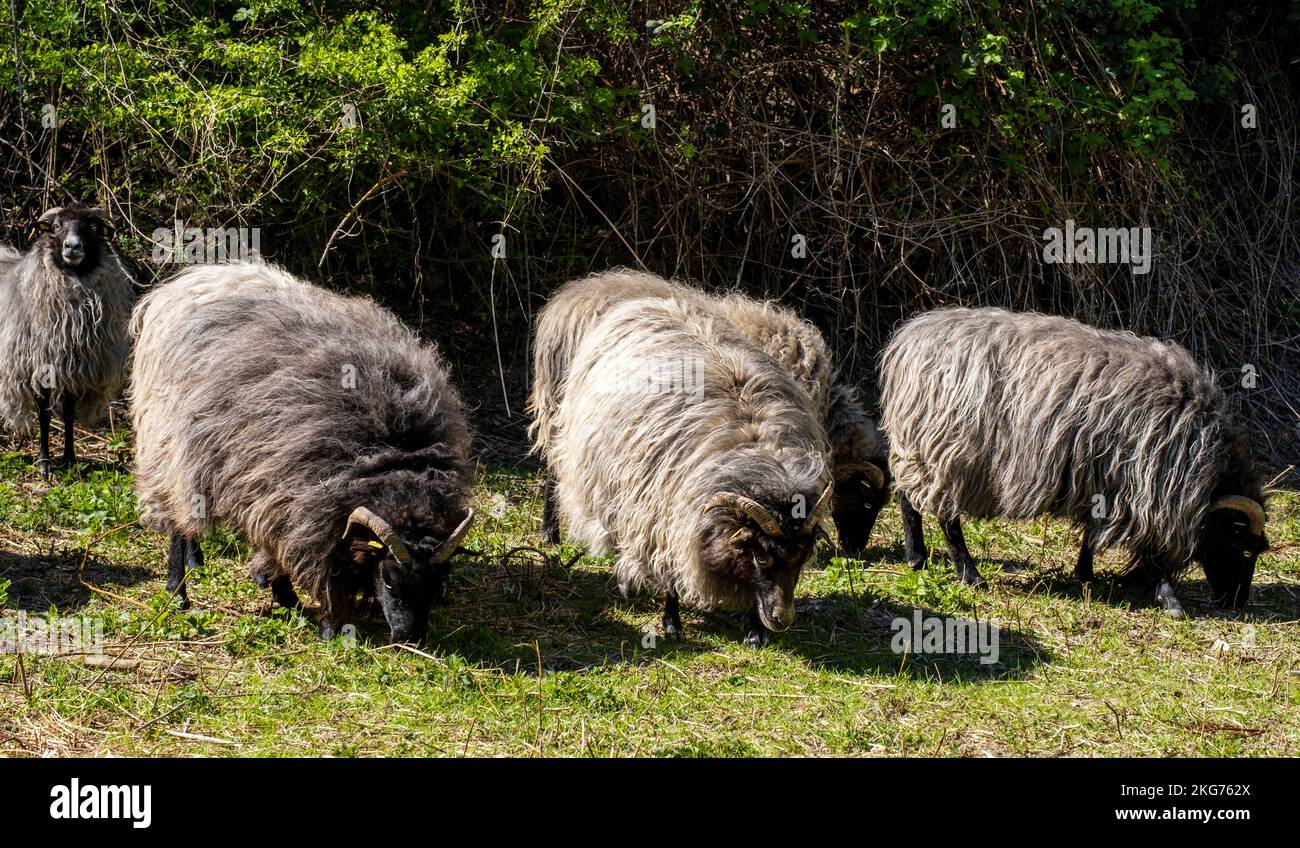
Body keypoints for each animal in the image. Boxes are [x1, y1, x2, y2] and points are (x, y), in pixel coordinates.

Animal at [0, 204, 133, 477]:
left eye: (90, 228)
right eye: (56, 227)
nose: (72, 246)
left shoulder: (73, 370)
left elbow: (69, 416)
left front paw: (70, 460)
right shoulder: (38, 367)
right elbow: (44, 416)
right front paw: (44, 464)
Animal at [129, 260, 476, 642]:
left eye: (438, 582)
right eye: (389, 579)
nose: (409, 639)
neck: (393, 459)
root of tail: (190, 279)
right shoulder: (301, 505)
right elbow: (316, 566)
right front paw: (326, 623)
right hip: (171, 441)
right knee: (178, 514)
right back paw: (178, 589)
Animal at [548, 293, 834, 647]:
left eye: (804, 555)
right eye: (763, 556)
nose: (782, 620)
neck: (757, 455)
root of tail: (652, 302)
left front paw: (755, 629)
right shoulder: (664, 517)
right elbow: (670, 573)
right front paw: (672, 623)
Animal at [879, 306, 1269, 616]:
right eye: (1243, 549)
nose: (1237, 602)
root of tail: (909, 340)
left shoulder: (1104, 480)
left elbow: (1090, 532)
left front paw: (1085, 573)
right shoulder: (1151, 488)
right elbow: (1153, 549)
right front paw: (1169, 599)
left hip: (919, 446)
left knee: (906, 496)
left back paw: (916, 558)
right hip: (946, 452)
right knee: (946, 518)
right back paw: (970, 575)